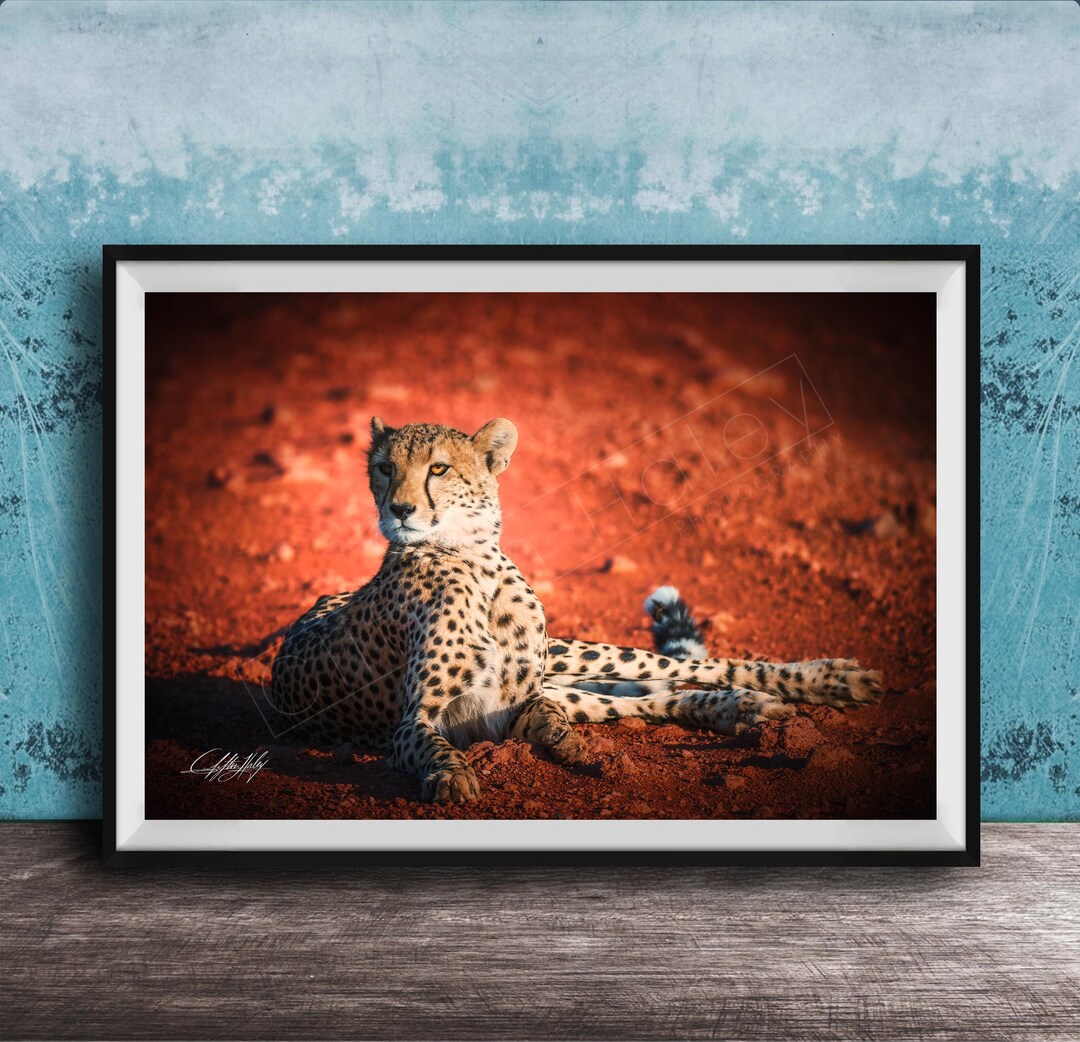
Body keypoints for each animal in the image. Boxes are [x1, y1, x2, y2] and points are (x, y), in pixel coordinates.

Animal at [269, 416, 883, 804]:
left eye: (438, 469)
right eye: (382, 468)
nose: (398, 509)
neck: (472, 559)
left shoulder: (515, 699)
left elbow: (545, 711)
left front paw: (560, 740)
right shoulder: (430, 720)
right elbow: (437, 745)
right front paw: (453, 778)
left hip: (576, 652)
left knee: (683, 670)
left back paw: (826, 682)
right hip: (573, 674)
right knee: (643, 699)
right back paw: (742, 710)